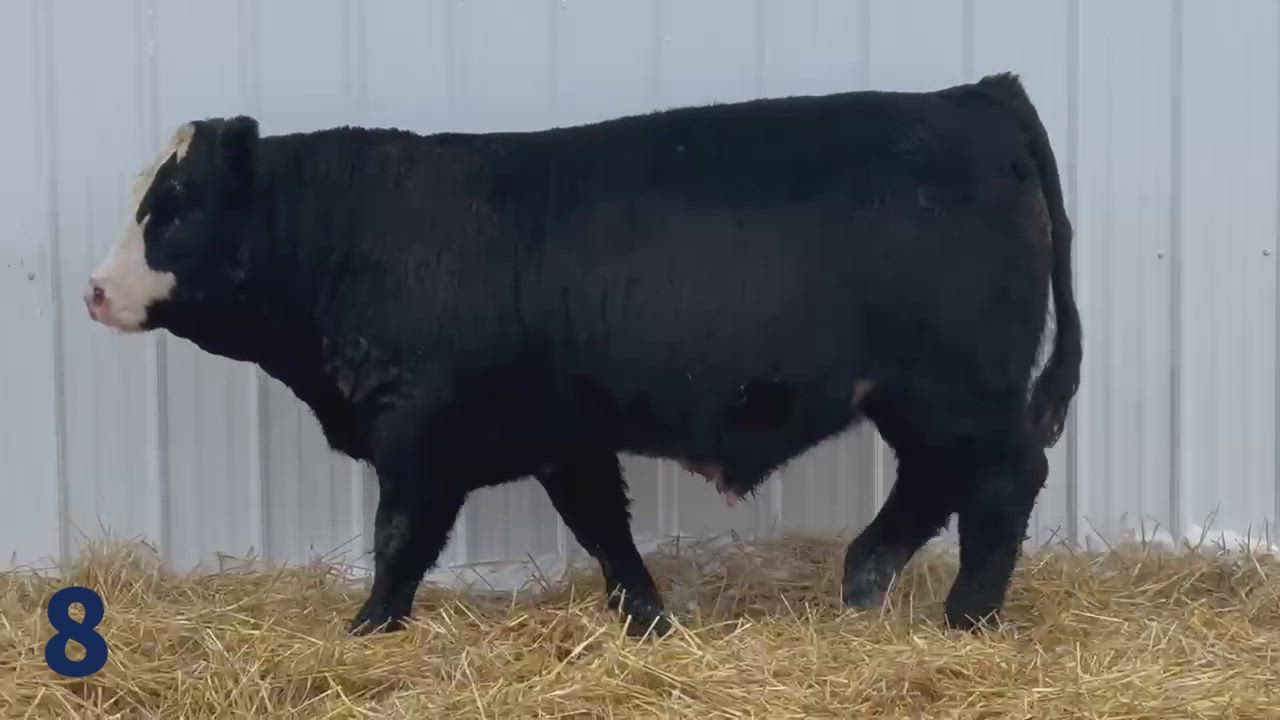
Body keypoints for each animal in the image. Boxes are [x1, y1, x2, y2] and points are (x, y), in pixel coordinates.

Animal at [85, 71, 1081, 638]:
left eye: (171, 209)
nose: (93, 289)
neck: (357, 235)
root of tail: (975, 97)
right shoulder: (562, 435)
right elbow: (605, 529)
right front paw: (649, 621)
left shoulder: (419, 439)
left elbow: (401, 542)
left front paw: (365, 629)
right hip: (924, 398)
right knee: (934, 483)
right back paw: (866, 580)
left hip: (959, 392)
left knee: (1003, 481)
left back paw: (967, 618)